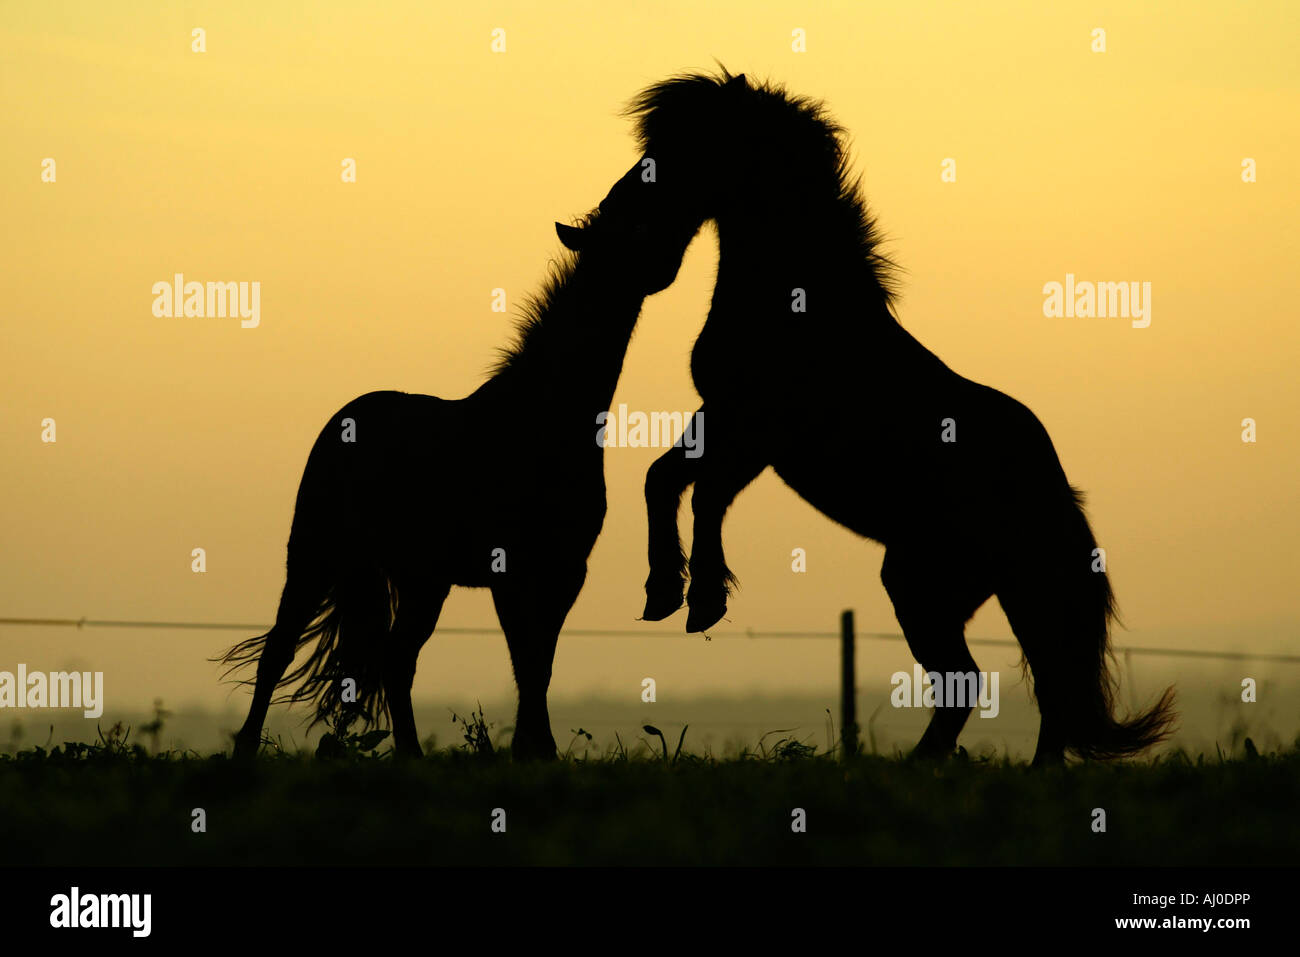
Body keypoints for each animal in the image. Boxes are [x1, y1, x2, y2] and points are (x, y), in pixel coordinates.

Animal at [221, 195, 704, 761]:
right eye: (631, 236)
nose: (672, 256)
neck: (544, 417)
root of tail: (342, 423)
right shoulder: (515, 572)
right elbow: (528, 663)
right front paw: (535, 750)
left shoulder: (563, 571)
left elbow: (537, 665)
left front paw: (534, 752)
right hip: (314, 555)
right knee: (279, 648)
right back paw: (244, 753)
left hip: (420, 579)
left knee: (396, 658)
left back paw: (411, 756)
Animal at [561, 71, 1176, 764]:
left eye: (685, 146)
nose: (608, 213)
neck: (800, 301)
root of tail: (1051, 486)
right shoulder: (722, 415)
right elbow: (664, 479)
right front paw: (667, 591)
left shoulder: (755, 431)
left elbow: (706, 494)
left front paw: (704, 598)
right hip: (974, 587)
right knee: (1039, 686)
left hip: (928, 583)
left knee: (983, 682)